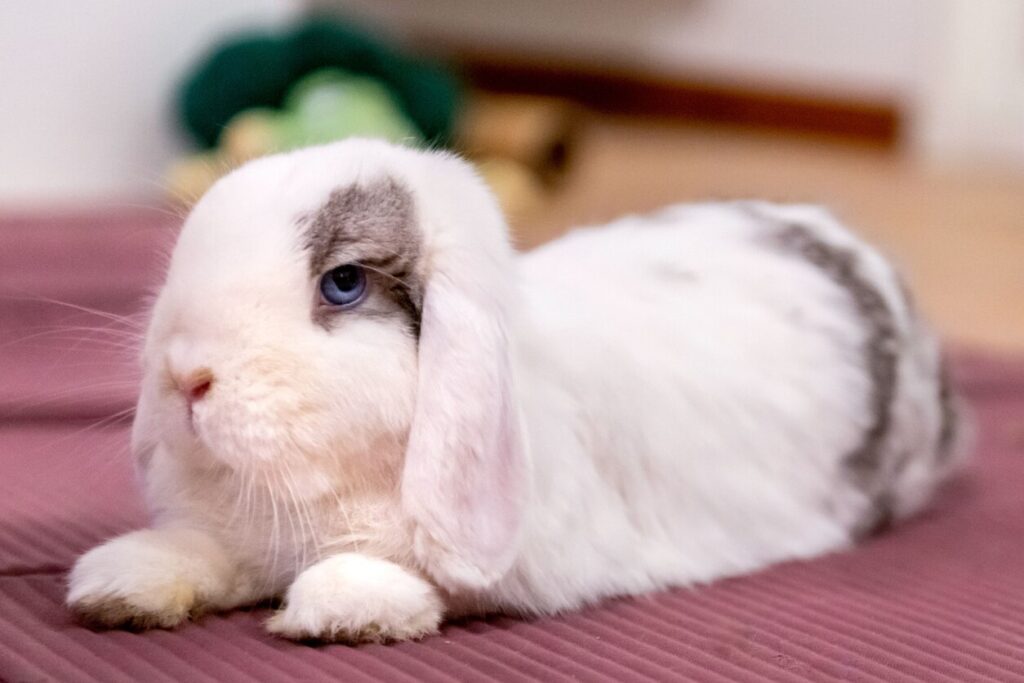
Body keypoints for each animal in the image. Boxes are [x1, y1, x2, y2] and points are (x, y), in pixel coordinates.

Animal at [66, 138, 968, 643]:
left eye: (344, 283)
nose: (184, 374)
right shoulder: (243, 539)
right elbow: (203, 555)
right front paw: (118, 584)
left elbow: (408, 574)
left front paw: (341, 608)